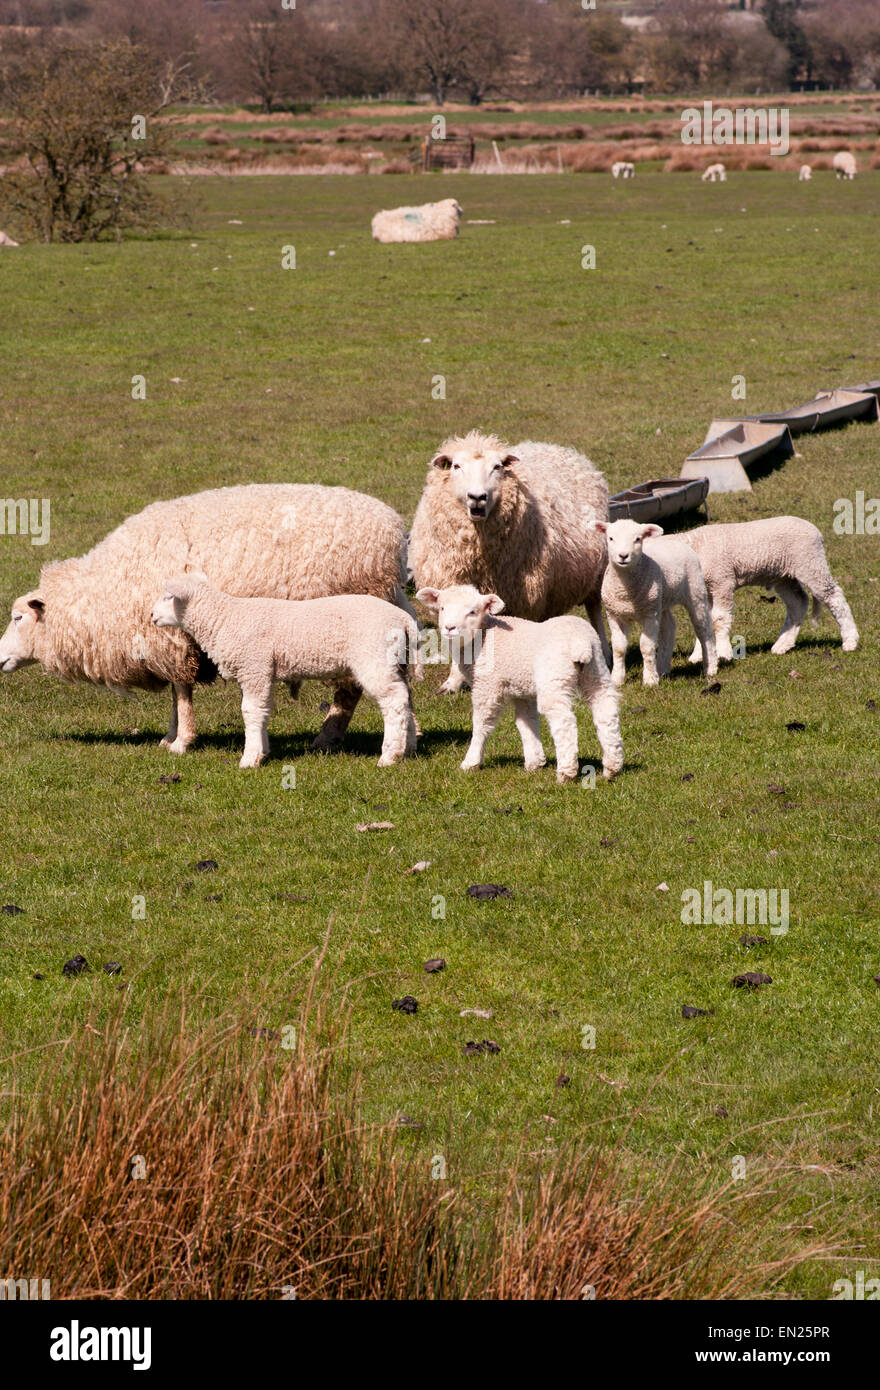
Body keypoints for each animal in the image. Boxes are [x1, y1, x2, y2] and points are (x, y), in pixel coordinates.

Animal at [151, 577, 420, 770]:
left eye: (168, 596)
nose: (151, 615)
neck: (225, 619)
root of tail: (404, 619)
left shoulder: (254, 667)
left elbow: (250, 712)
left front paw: (249, 758)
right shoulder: (261, 671)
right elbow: (262, 710)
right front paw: (262, 752)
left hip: (375, 658)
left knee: (394, 701)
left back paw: (390, 756)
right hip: (395, 662)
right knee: (405, 697)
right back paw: (408, 748)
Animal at [408, 431, 610, 694]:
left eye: (497, 467)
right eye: (456, 466)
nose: (477, 498)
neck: (478, 554)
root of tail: (559, 449)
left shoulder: (525, 601)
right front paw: (453, 682)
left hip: (596, 573)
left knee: (595, 610)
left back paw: (605, 651)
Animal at [416, 585, 623, 784]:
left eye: (472, 612)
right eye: (442, 608)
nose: (449, 628)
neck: (482, 637)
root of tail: (582, 643)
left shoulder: (487, 685)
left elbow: (481, 724)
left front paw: (471, 761)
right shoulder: (521, 689)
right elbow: (525, 722)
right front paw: (534, 761)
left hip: (554, 678)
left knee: (565, 722)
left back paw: (566, 772)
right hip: (596, 671)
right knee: (605, 711)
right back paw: (612, 767)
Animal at [592, 519, 718, 687]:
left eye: (638, 539)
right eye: (611, 538)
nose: (623, 556)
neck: (625, 593)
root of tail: (678, 540)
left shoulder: (650, 614)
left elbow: (646, 647)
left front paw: (650, 680)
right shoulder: (614, 614)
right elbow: (618, 648)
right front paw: (616, 679)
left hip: (695, 590)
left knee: (704, 629)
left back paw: (710, 667)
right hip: (661, 601)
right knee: (669, 629)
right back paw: (662, 668)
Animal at [681, 517, 859, 663]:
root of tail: (815, 531)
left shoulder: (722, 581)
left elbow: (719, 618)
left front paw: (723, 653)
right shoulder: (707, 589)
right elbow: (704, 621)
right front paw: (698, 656)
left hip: (810, 561)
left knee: (834, 595)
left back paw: (850, 640)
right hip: (784, 576)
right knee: (798, 602)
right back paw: (782, 645)